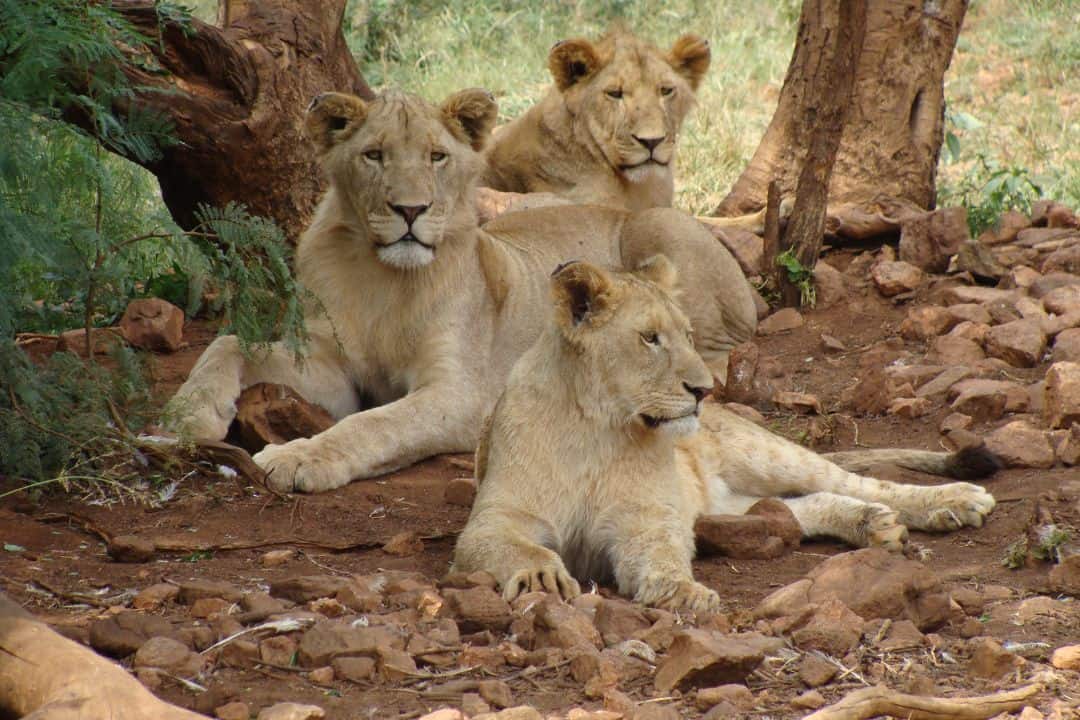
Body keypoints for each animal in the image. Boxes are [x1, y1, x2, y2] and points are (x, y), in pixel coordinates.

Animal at [166, 88, 760, 493]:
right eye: (374, 155)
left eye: (437, 156)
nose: (410, 210)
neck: (384, 279)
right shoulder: (331, 370)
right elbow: (228, 344)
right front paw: (186, 416)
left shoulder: (459, 394)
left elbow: (376, 424)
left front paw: (299, 458)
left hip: (656, 228)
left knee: (720, 356)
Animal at [451, 260, 997, 612]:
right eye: (650, 338)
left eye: (689, 336)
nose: (704, 389)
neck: (598, 427)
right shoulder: (494, 520)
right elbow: (522, 547)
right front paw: (541, 576)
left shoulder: (646, 518)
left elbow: (662, 553)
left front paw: (681, 592)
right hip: (724, 505)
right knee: (799, 508)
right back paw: (872, 524)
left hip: (764, 453)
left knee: (860, 483)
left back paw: (952, 502)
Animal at [480, 30, 770, 232]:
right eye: (615, 94)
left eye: (666, 90)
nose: (652, 141)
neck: (635, 184)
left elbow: (703, 219)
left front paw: (766, 215)